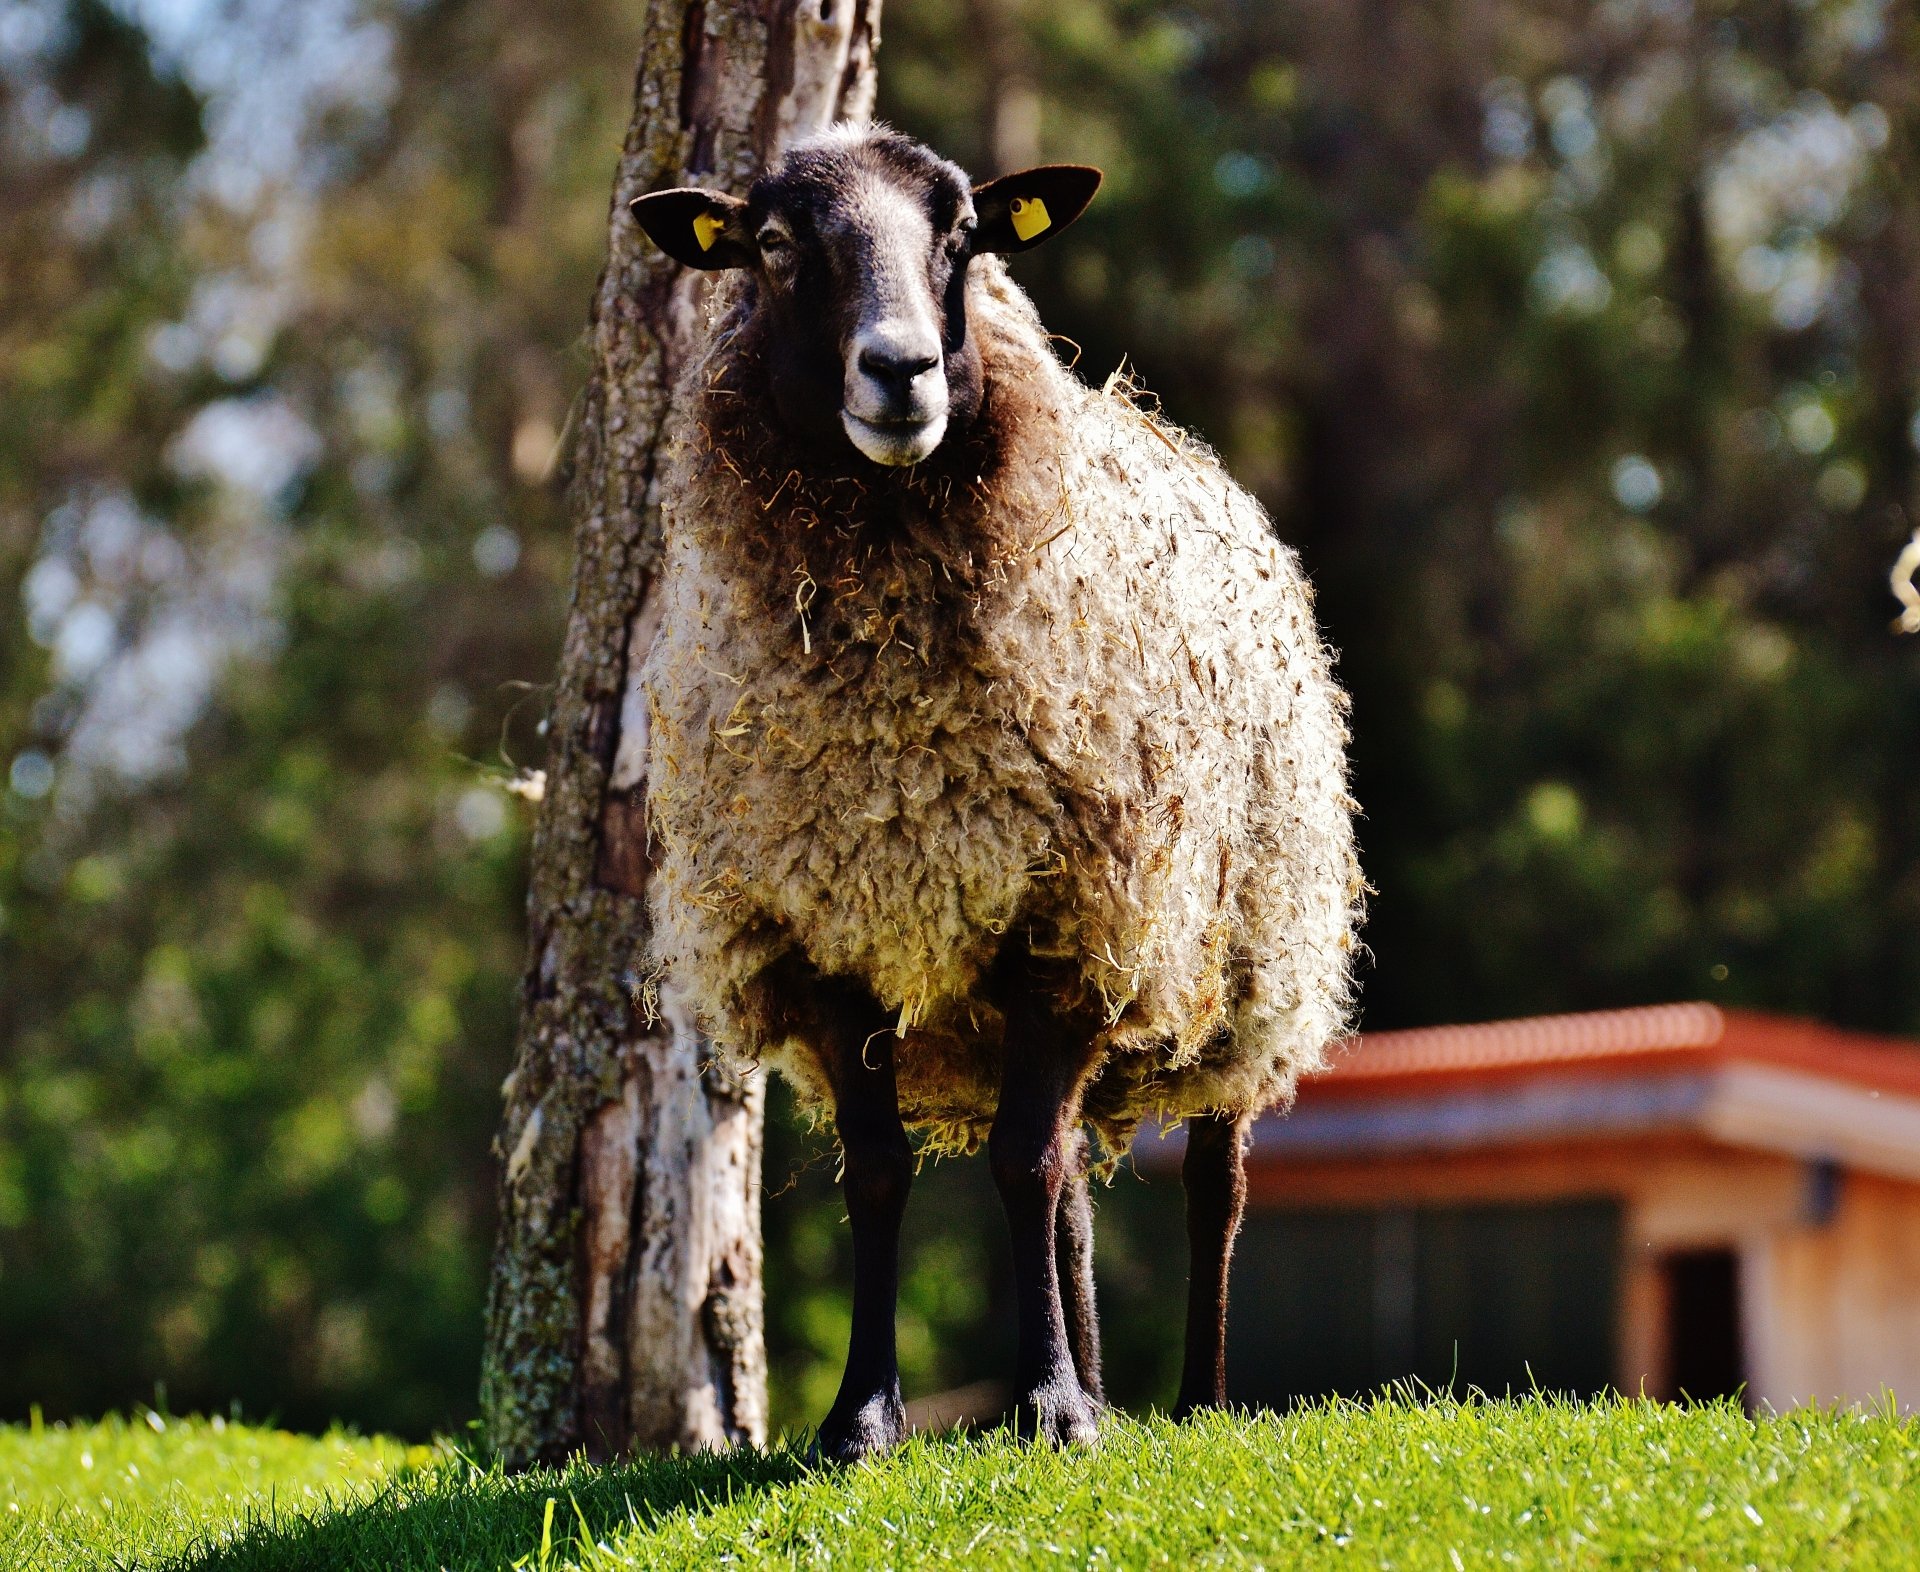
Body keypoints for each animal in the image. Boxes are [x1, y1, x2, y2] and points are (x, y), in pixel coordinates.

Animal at [629, 126, 1362, 1460]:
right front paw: (865, 1418)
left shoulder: (1073, 923)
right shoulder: (827, 936)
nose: (903, 370)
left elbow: (1021, 1164)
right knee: (1073, 1178)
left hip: (1248, 953)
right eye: (773, 242)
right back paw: (1106, 1388)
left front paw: (1051, 1408)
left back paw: (1194, 1398)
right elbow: (886, 1169)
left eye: (965, 233)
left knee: (1212, 1180)